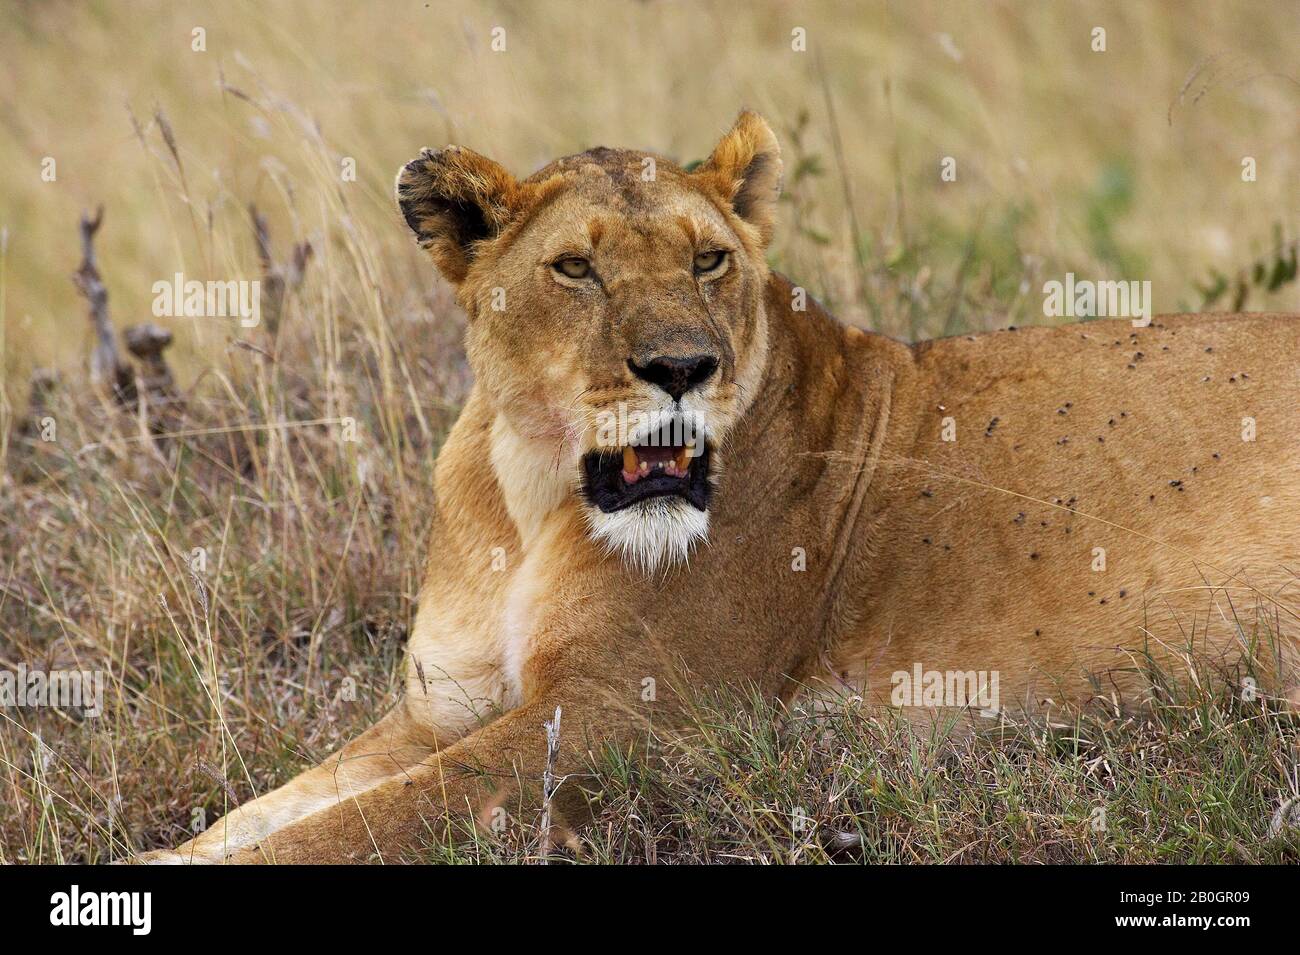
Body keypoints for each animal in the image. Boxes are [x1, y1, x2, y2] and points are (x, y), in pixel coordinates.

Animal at [143, 111, 1300, 864]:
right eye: (576, 269)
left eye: (707, 261)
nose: (683, 368)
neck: (531, 494)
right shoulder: (442, 702)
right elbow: (272, 807)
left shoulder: (631, 718)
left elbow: (371, 819)